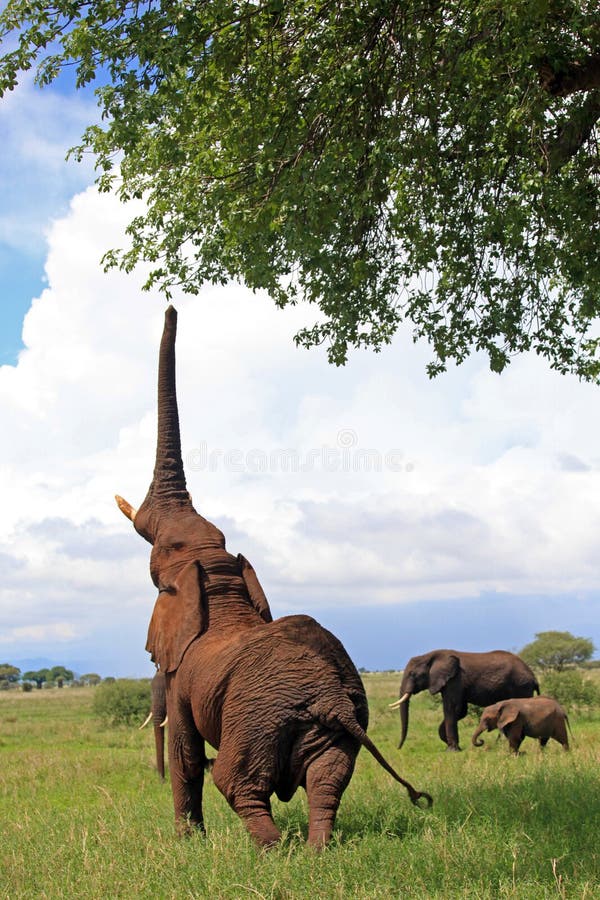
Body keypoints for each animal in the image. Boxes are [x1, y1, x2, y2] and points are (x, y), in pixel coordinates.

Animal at [115, 305, 431, 848]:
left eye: (157, 564)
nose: (172, 307)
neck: (216, 577)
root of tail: (331, 698)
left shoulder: (181, 679)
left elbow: (186, 755)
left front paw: (188, 844)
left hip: (256, 718)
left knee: (236, 780)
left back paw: (273, 850)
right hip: (332, 723)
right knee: (327, 781)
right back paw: (318, 849)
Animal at [391, 649, 539, 751]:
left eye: (412, 674)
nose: (398, 748)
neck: (430, 656)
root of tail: (534, 677)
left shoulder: (455, 680)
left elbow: (451, 708)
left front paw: (451, 750)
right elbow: (460, 711)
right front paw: (449, 744)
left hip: (520, 687)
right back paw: (499, 744)